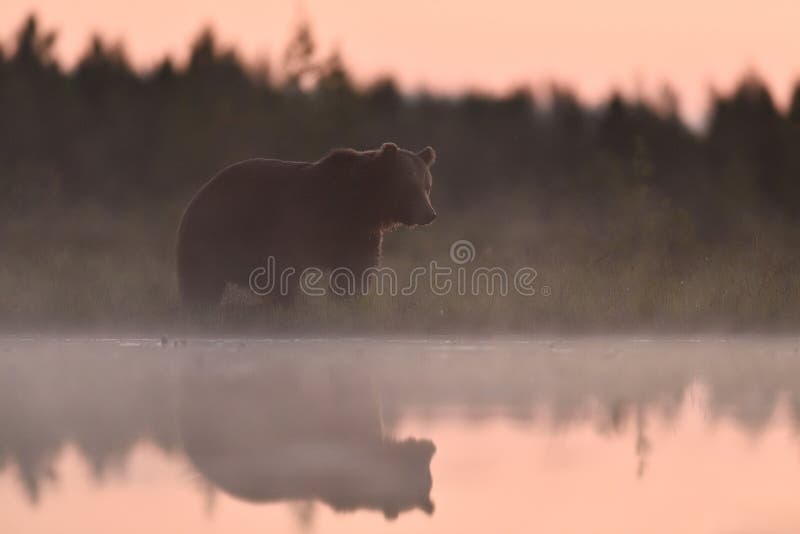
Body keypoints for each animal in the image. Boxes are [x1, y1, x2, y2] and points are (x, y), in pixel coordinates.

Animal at [176, 142, 437, 306]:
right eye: (410, 187)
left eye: (427, 185)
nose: (430, 214)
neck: (362, 204)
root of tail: (195, 197)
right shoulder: (301, 220)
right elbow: (284, 269)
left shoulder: (361, 235)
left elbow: (356, 271)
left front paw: (347, 301)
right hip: (213, 232)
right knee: (200, 281)